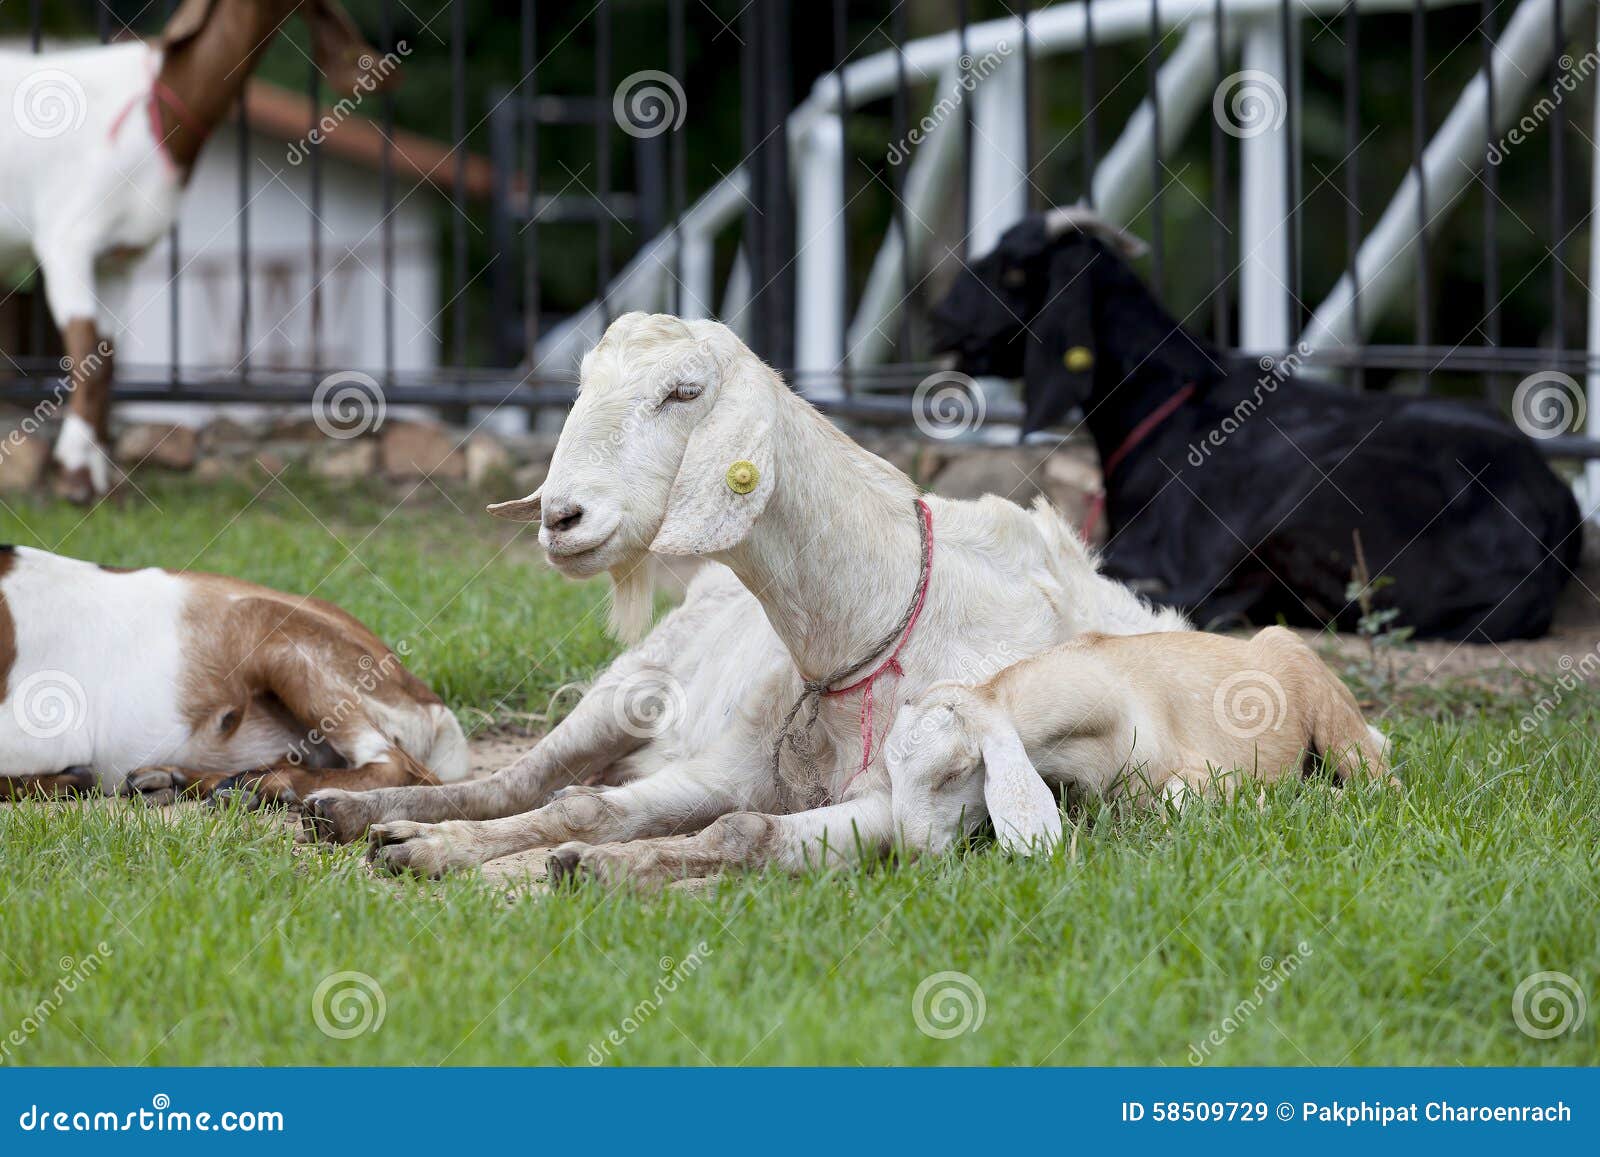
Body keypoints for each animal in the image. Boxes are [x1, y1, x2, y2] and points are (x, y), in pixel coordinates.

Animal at [0, 0, 381, 503]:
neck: (159, 111)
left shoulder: (121, 257)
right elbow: (87, 359)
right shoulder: (68, 239)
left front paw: (101, 480)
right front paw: (76, 478)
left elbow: (106, 358)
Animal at [0, 544, 466, 804]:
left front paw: (71, 779)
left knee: (397, 765)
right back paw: (181, 780)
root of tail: (429, 702)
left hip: (277, 636)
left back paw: (261, 787)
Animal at [301, 312, 1186, 885]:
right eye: (583, 385)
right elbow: (583, 808)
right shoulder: (726, 760)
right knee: (524, 776)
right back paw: (362, 812)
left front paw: (602, 865)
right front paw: (432, 845)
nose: (561, 516)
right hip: (630, 685)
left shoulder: (917, 804)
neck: (880, 619)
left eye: (684, 391)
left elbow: (738, 826)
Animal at [886, 625, 1392, 856]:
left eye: (955, 772)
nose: (910, 853)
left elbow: (1178, 799)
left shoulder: (1208, 771)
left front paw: (1268, 802)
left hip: (1338, 724)